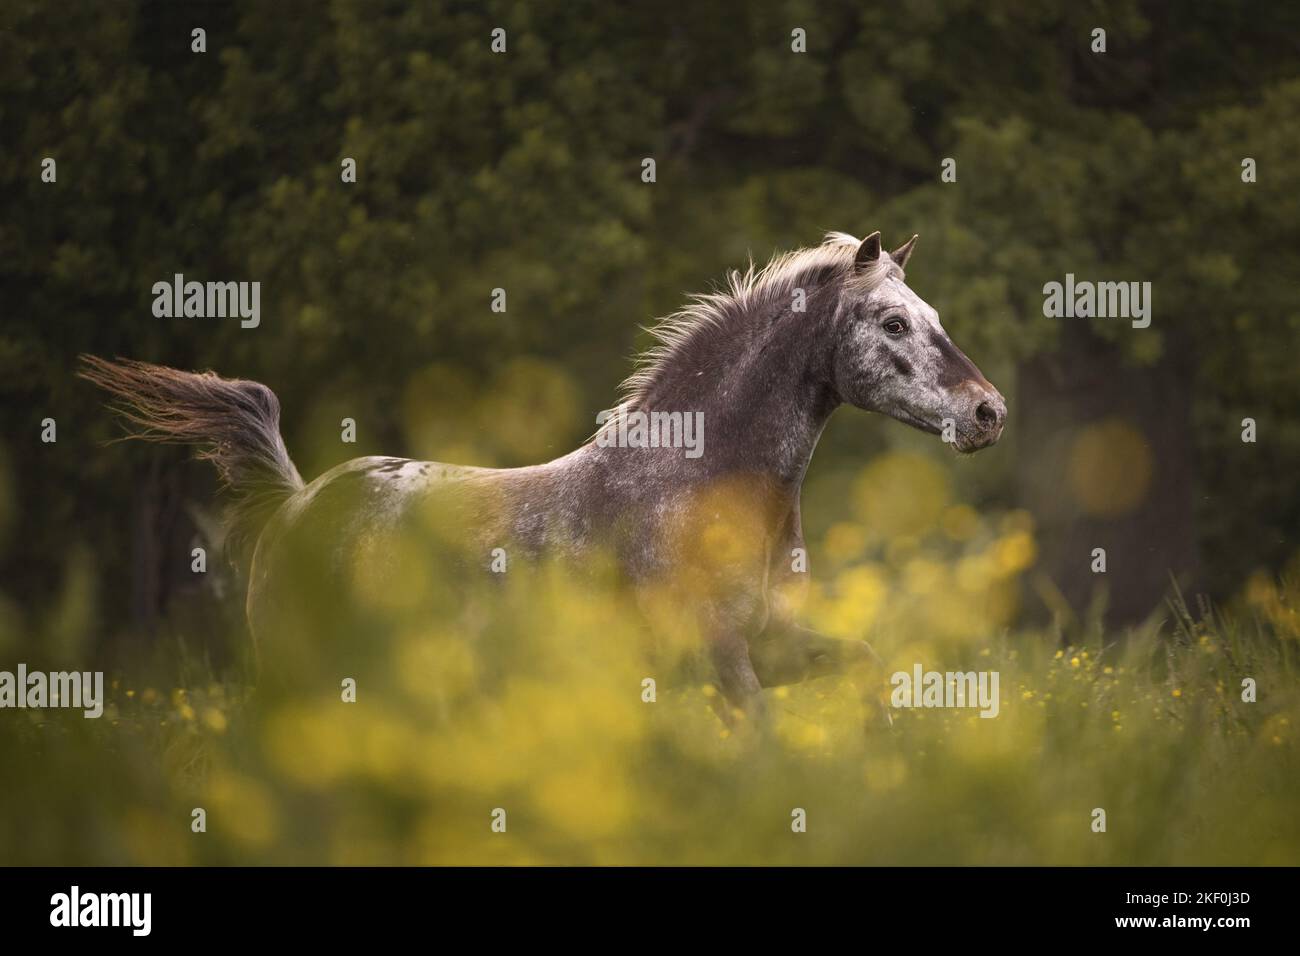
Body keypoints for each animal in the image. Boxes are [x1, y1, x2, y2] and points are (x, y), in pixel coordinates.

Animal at [80, 231, 1005, 720]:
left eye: (930, 316)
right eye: (893, 323)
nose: (990, 412)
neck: (694, 484)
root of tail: (298, 500)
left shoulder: (772, 646)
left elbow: (869, 665)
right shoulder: (719, 657)